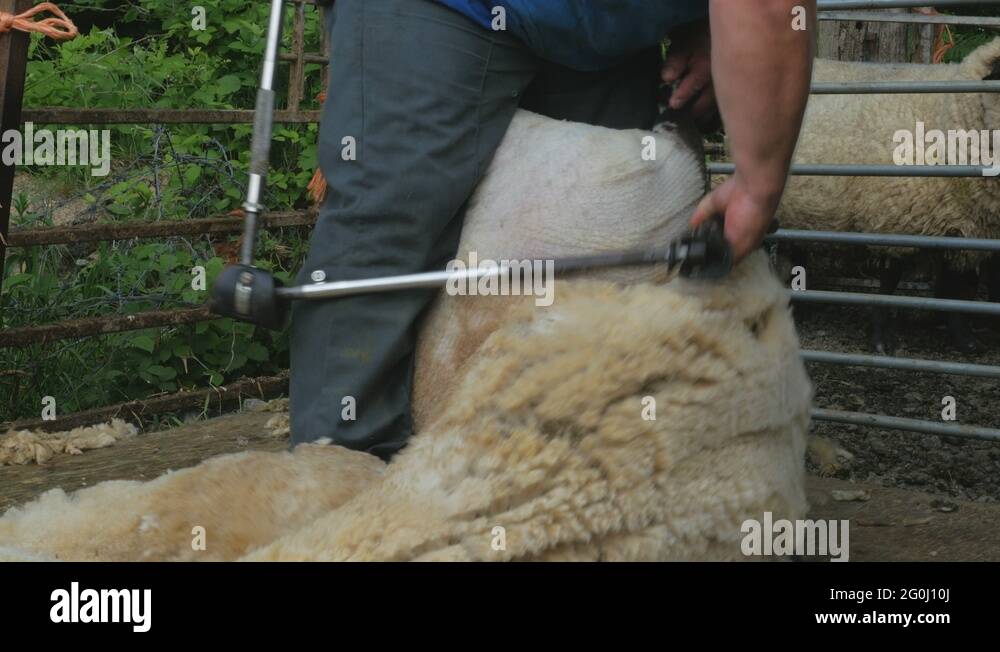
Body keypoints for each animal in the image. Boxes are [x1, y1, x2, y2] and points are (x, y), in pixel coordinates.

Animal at [774, 38, 1000, 353]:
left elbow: (960, 287)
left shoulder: (969, 227)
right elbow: (889, 282)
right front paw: (881, 339)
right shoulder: (894, 217)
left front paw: (962, 337)